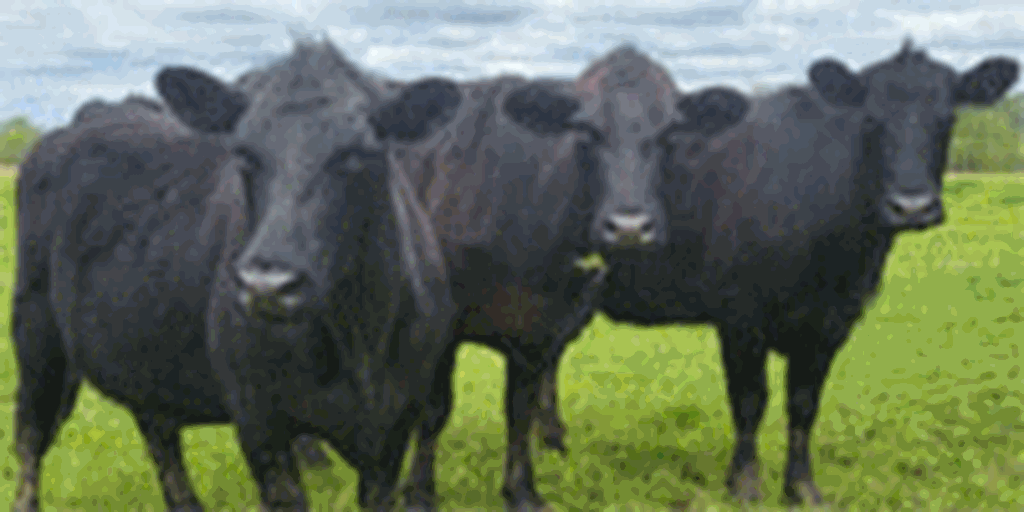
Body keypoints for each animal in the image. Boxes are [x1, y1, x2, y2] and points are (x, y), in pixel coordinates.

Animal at [155, 40, 465, 511]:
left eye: (354, 154)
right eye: (244, 153)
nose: (267, 286)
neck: (355, 338)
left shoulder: (395, 426)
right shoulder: (256, 420)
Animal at [378, 44, 750, 511]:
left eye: (669, 134)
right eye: (585, 131)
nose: (629, 227)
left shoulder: (541, 327)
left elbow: (519, 408)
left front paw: (522, 490)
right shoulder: (442, 323)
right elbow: (435, 408)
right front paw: (419, 492)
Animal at [594, 38, 1019, 505]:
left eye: (948, 117)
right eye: (870, 120)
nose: (912, 207)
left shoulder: (831, 322)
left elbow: (803, 404)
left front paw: (801, 487)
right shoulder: (740, 315)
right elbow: (749, 400)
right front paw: (744, 484)